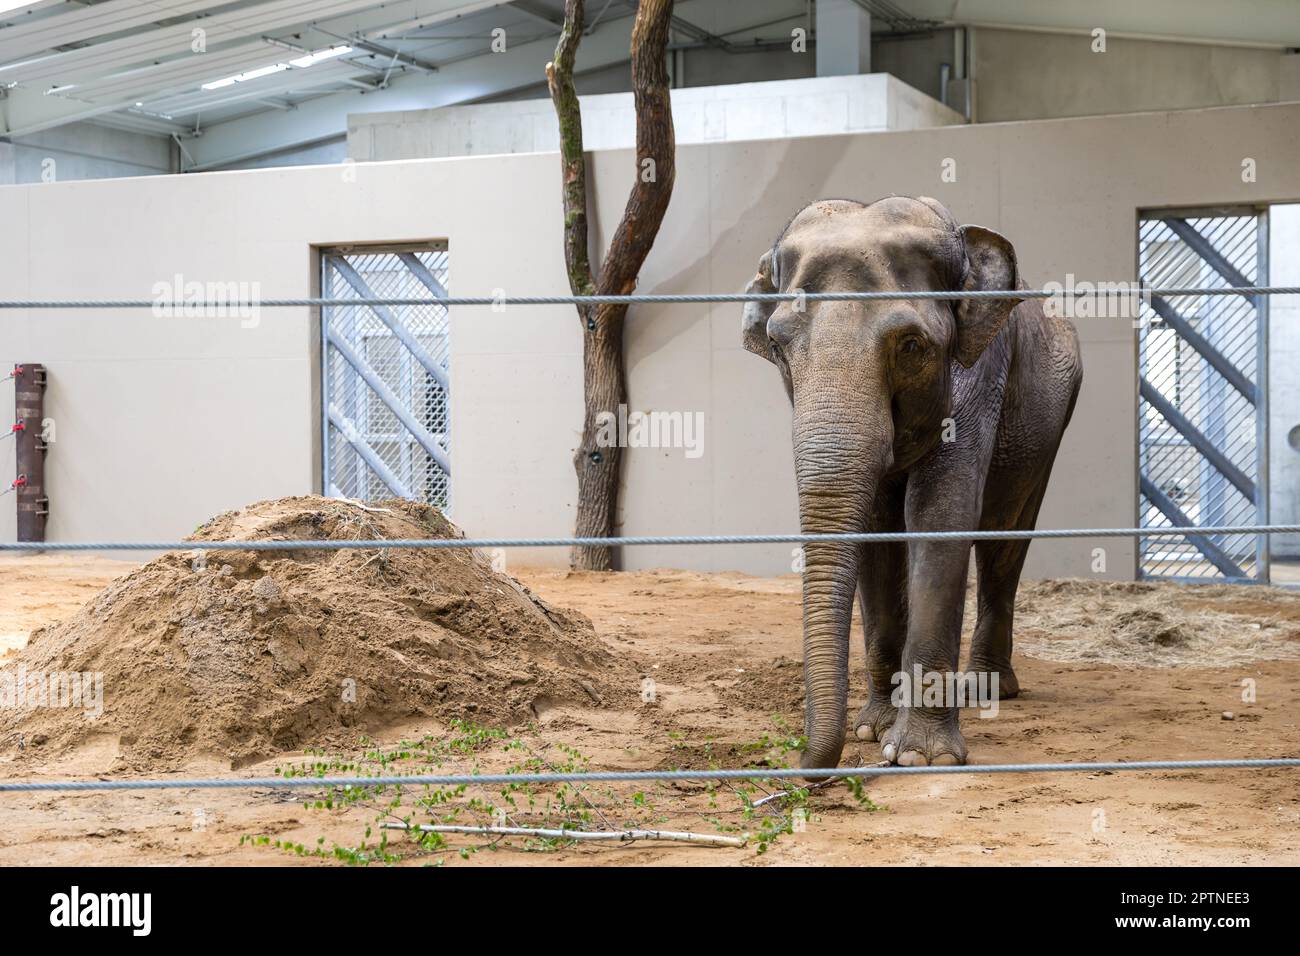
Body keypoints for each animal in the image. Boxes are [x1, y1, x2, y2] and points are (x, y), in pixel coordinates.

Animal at [742, 196, 1083, 771]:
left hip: (1051, 426)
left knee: (1006, 538)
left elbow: (940, 516)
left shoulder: (977, 370)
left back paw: (988, 690)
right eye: (776, 344)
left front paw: (921, 757)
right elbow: (877, 530)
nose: (802, 765)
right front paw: (870, 730)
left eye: (911, 345)